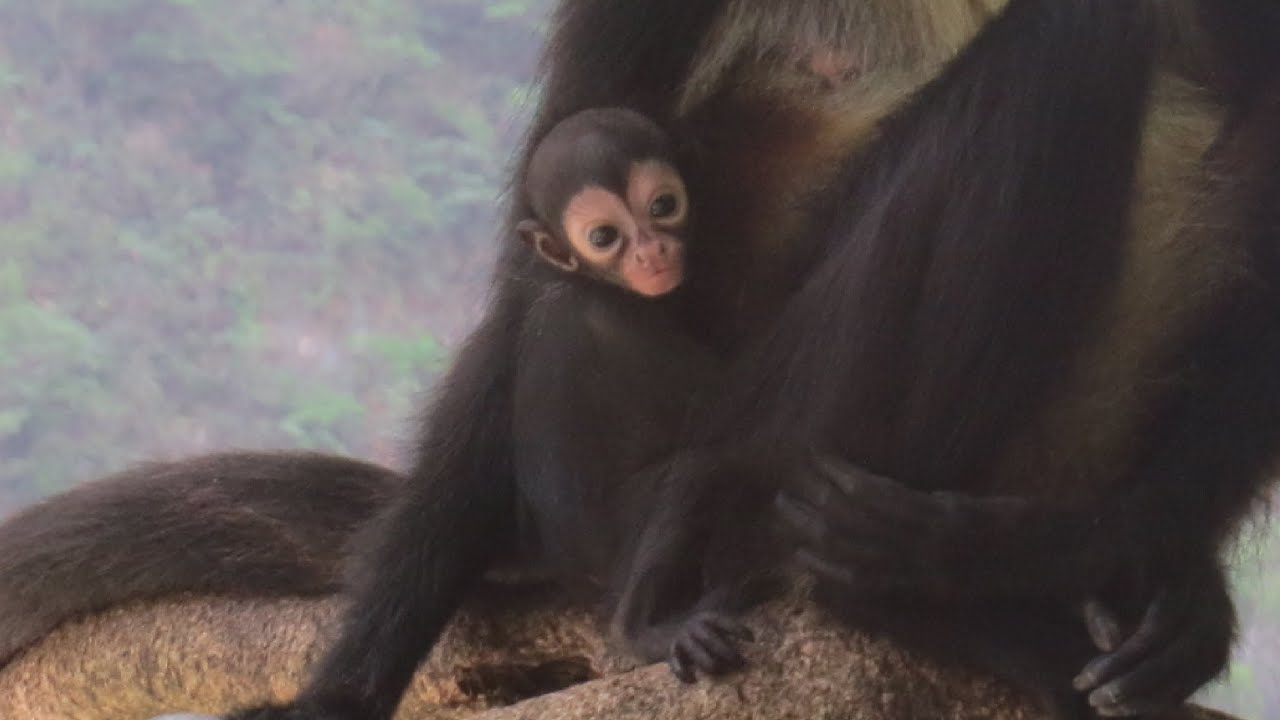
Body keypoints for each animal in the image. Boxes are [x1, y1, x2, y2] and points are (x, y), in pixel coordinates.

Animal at [221, 2, 1280, 720]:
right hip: (789, 416)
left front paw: (1160, 582)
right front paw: (346, 688)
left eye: (664, 210)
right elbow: (534, 270)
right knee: (1080, 35)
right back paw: (909, 594)